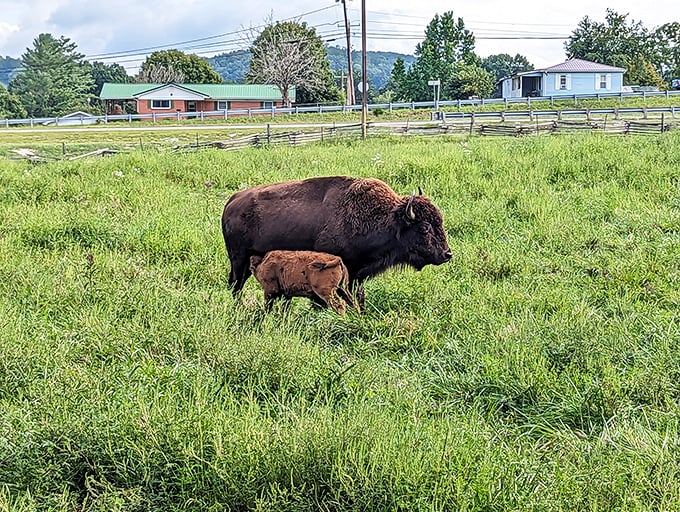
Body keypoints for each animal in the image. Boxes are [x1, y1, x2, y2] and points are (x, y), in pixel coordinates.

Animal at [222, 176, 452, 299]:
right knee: (235, 284)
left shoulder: (357, 275)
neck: (386, 218)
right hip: (238, 259)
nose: (447, 254)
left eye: (440, 221)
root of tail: (232, 201)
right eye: (424, 228)